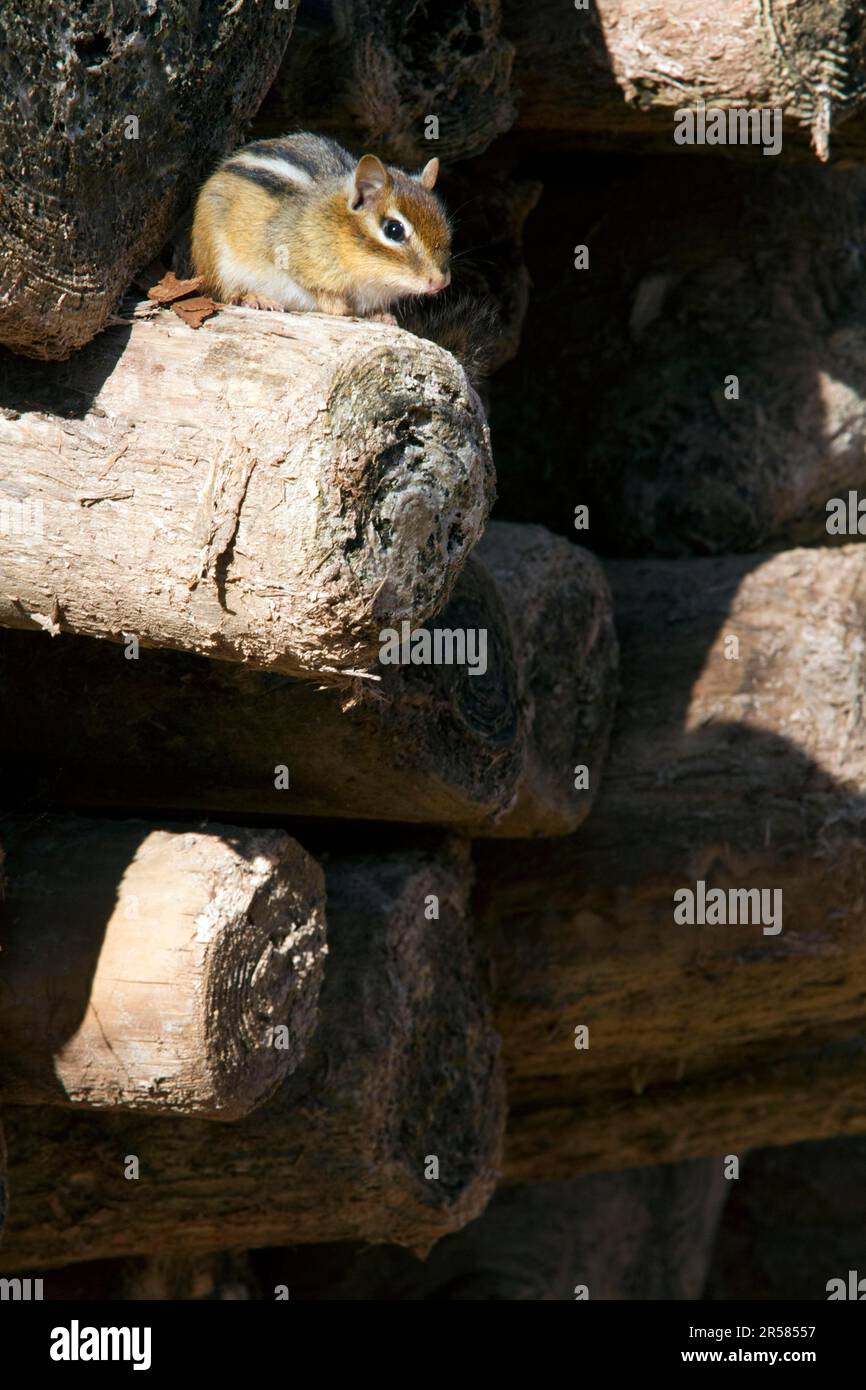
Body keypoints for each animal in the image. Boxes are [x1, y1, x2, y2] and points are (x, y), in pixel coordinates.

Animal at [191, 132, 452, 320]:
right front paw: (340, 308)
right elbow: (317, 289)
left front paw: (382, 316)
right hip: (218, 260)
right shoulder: (289, 252)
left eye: (446, 226)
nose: (440, 281)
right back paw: (256, 298)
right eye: (394, 230)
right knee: (226, 293)